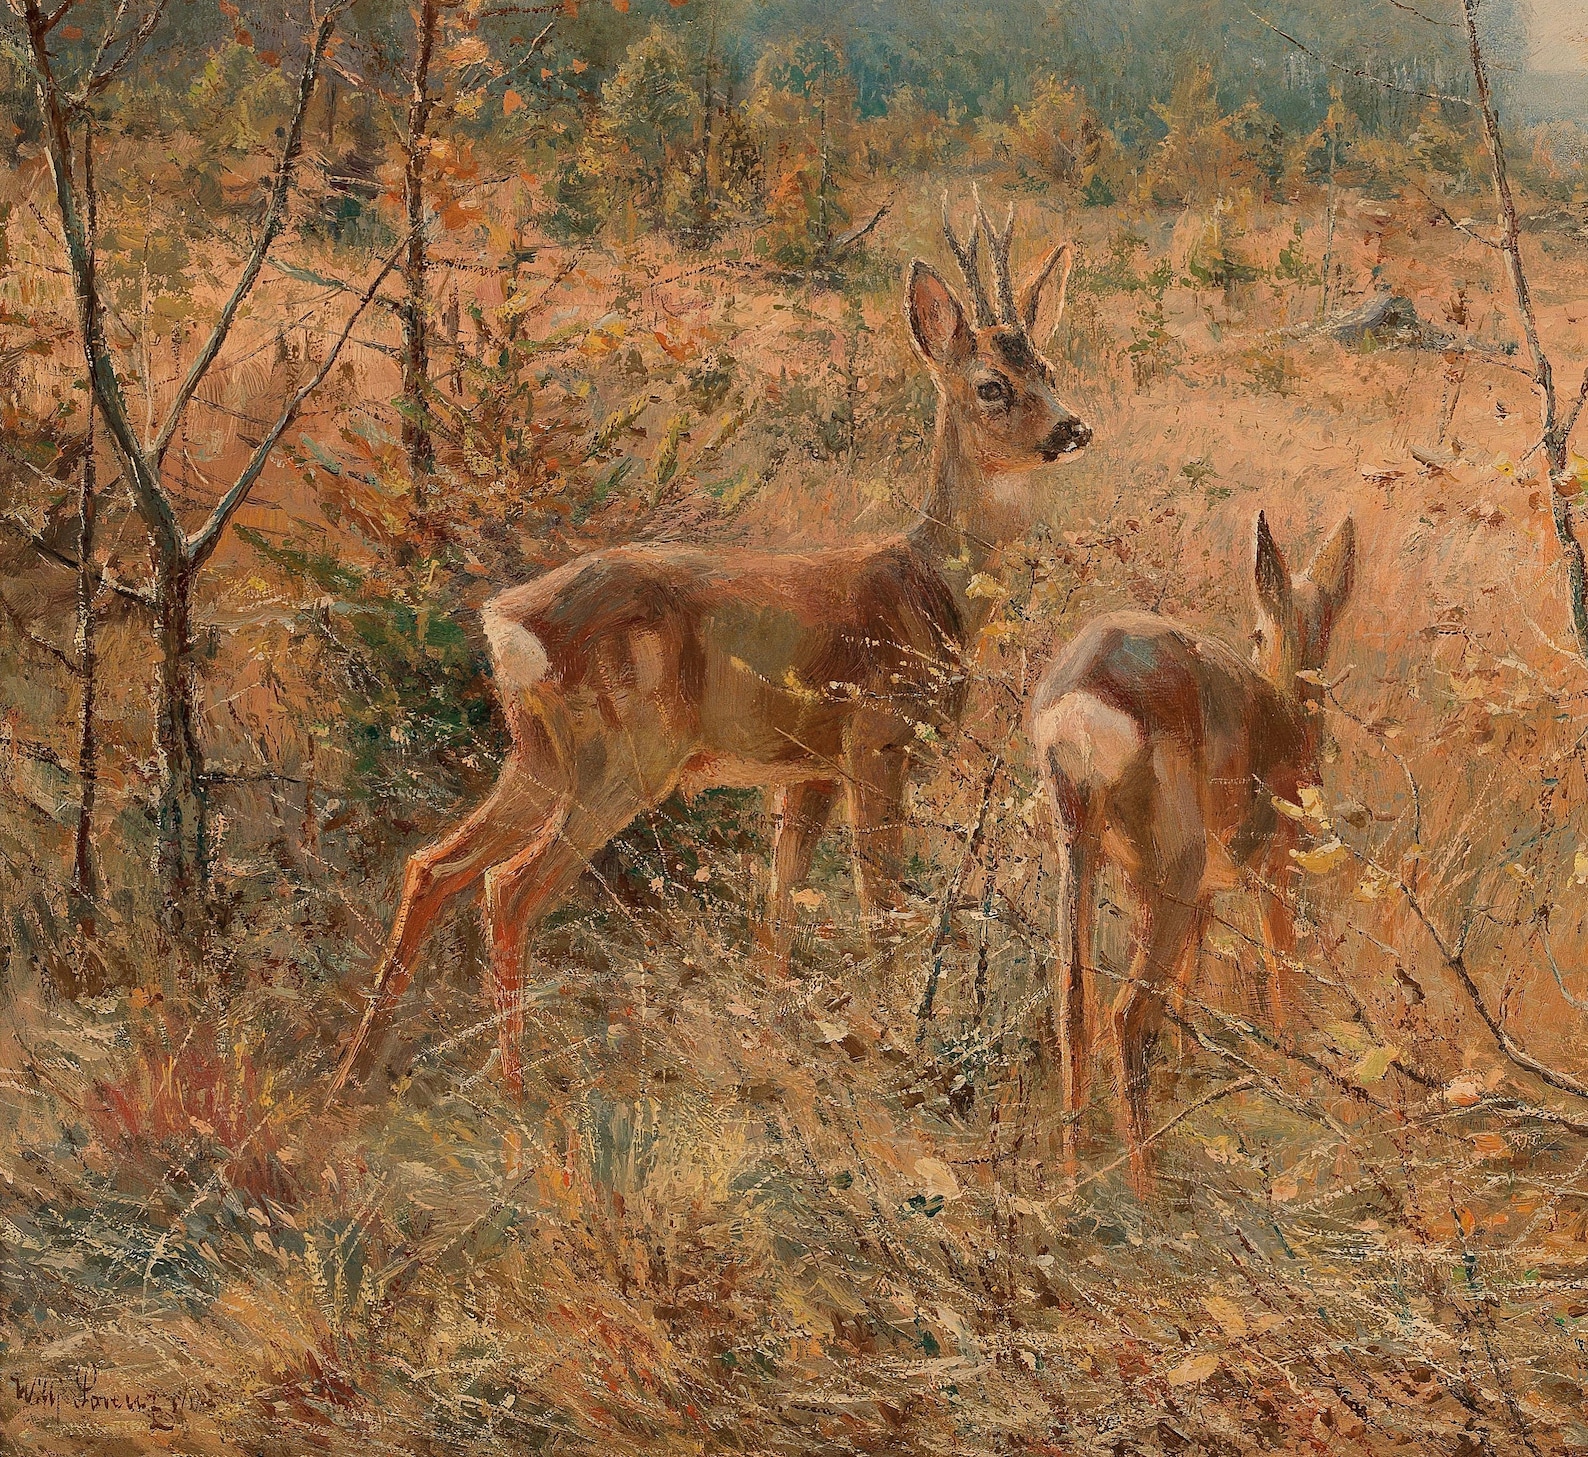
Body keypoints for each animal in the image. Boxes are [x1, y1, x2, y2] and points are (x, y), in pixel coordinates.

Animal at [330, 195, 1093, 1097]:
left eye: (1048, 365)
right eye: (991, 385)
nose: (1074, 428)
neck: (928, 589)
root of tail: (508, 621)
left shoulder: (806, 767)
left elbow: (778, 908)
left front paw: (782, 1035)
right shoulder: (877, 738)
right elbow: (882, 907)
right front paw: (898, 1041)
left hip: (539, 752)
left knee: (431, 868)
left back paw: (354, 1074)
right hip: (624, 751)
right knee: (506, 889)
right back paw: (514, 1087)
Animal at [1027, 510, 1355, 1193]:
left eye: (1326, 629)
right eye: (1257, 631)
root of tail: (1081, 699)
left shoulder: (1198, 888)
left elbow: (1189, 980)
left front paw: (1187, 1070)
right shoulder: (1276, 865)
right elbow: (1281, 967)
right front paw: (1297, 1075)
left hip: (1082, 843)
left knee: (1074, 999)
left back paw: (1073, 1175)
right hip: (1173, 859)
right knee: (1126, 1015)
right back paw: (1147, 1192)